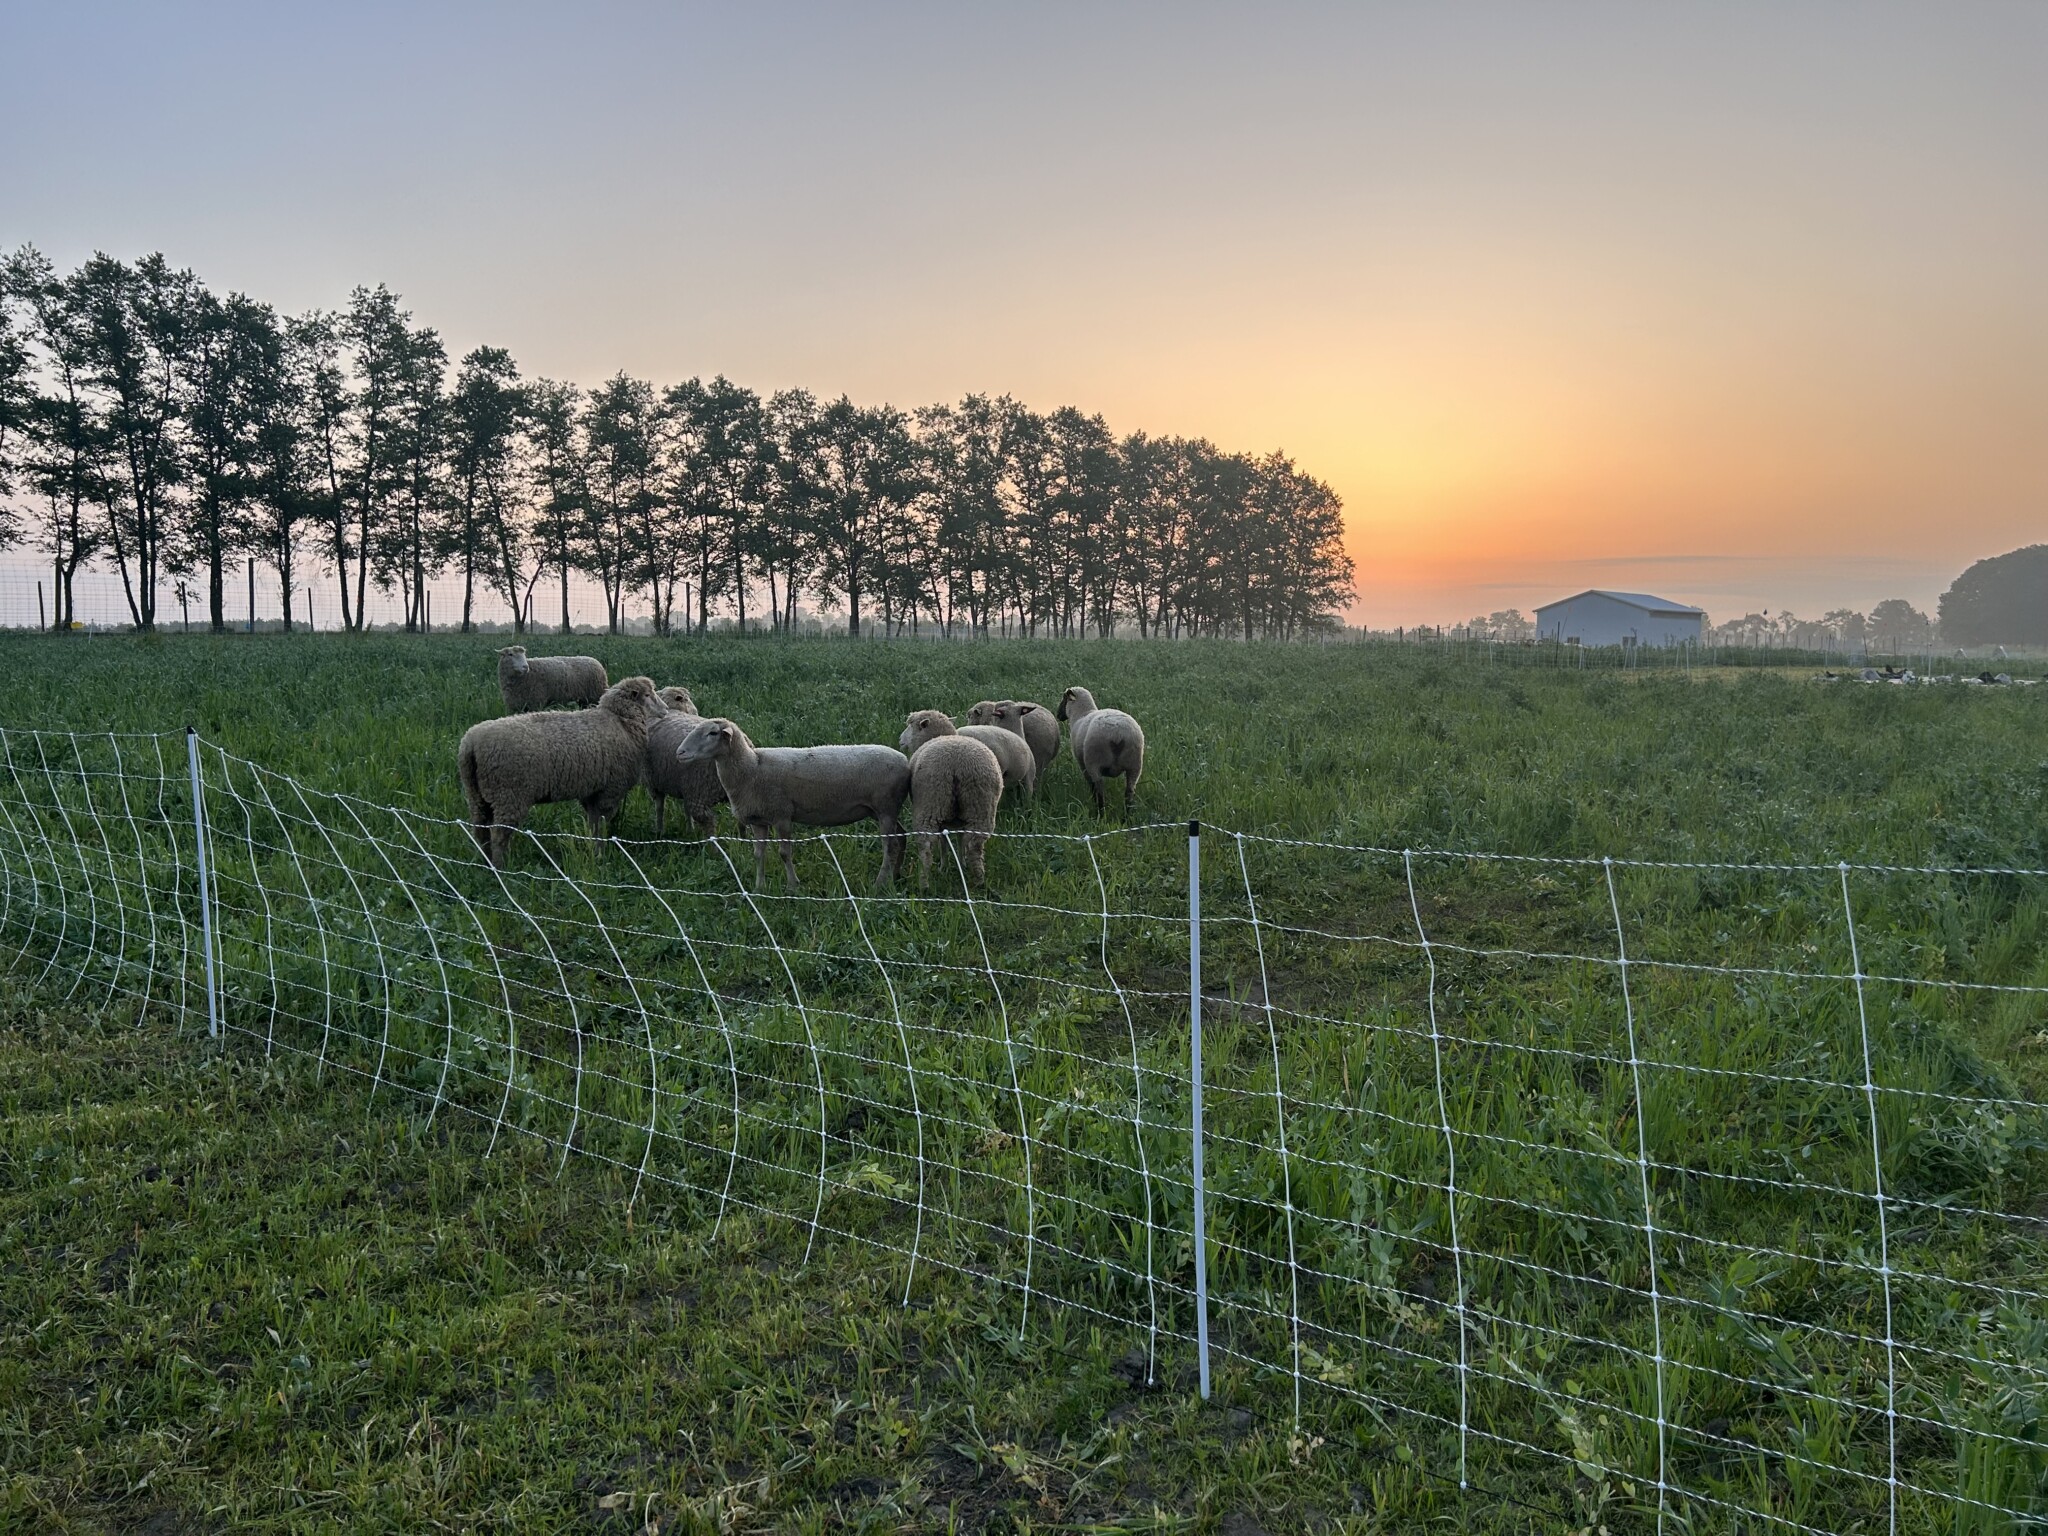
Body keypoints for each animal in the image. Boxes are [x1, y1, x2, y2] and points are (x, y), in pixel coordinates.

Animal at [459, 676, 662, 868]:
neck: (622, 721)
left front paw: (593, 851)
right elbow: (602, 825)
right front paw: (600, 854)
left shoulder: (591, 791)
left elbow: (593, 824)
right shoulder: (611, 790)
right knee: (499, 834)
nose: (665, 709)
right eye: (648, 694)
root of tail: (471, 743)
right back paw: (501, 867)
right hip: (509, 794)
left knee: (480, 829)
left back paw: (484, 861)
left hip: (476, 793)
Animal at [677, 718, 910, 890]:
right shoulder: (758, 820)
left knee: (890, 845)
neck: (752, 767)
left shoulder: (782, 815)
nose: (680, 753)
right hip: (882, 811)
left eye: (712, 733)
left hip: (885, 807)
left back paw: (880, 883)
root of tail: (905, 761)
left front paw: (792, 887)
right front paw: (759, 888)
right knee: (902, 836)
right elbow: (758, 854)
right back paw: (896, 875)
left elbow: (784, 853)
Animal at [897, 715, 1004, 887]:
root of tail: (956, 764)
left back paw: (924, 884)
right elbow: (960, 840)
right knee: (974, 845)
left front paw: (944, 866)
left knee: (926, 845)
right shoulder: (960, 821)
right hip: (980, 807)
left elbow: (944, 843)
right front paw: (961, 863)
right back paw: (979, 881)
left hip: (931, 805)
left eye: (910, 725)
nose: (900, 740)